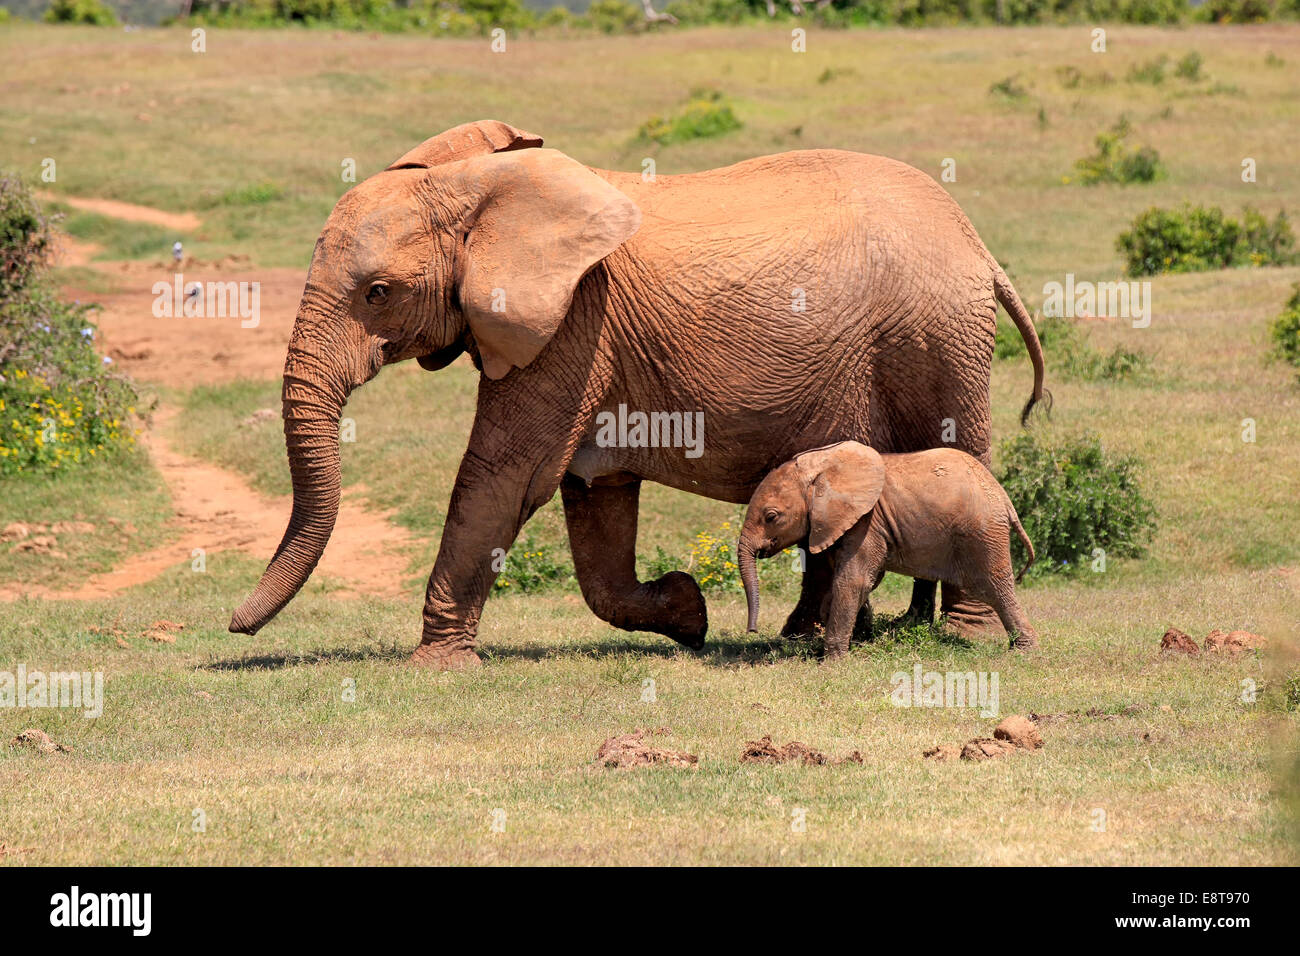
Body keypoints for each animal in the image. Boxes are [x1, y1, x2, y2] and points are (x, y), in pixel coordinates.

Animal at [737, 441, 1038, 660]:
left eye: (771, 517)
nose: (752, 630)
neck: (819, 468)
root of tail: (1004, 499)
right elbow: (865, 580)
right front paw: (850, 631)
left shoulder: (867, 522)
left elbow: (854, 580)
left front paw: (832, 661)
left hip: (982, 533)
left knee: (994, 587)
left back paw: (1024, 651)